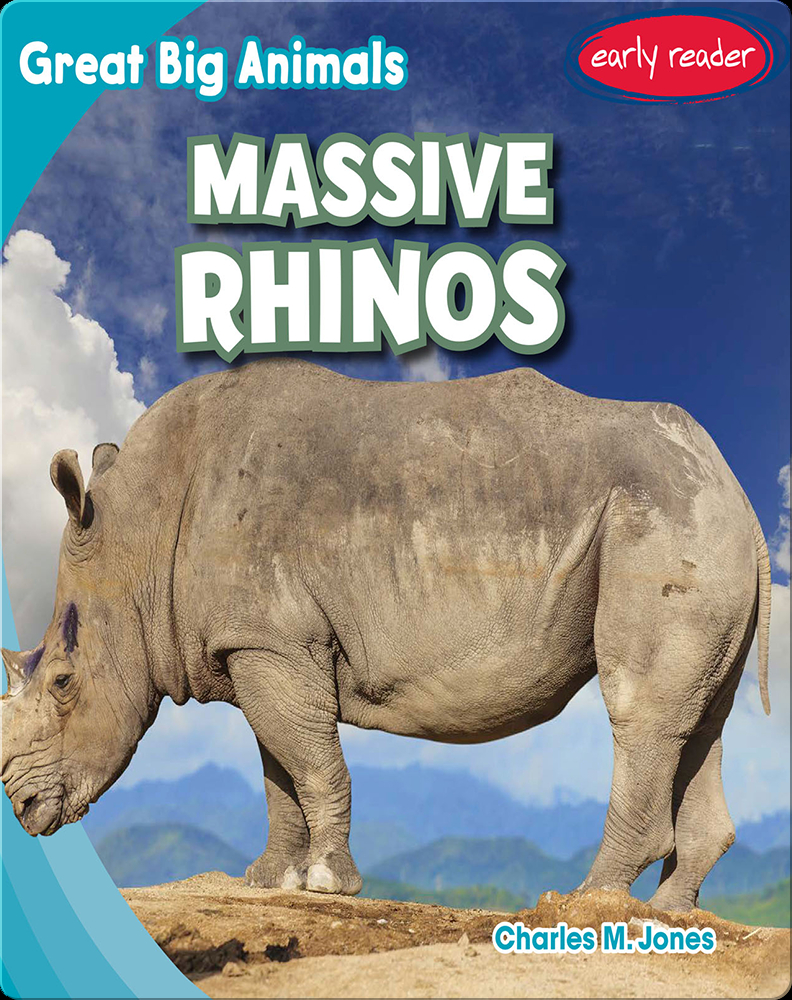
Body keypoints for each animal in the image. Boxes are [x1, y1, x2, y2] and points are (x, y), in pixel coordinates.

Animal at [1, 360, 771, 910]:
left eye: (64, 682)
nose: (23, 808)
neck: (139, 536)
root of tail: (739, 493)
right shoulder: (253, 645)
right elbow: (277, 769)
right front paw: (266, 881)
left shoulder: (273, 639)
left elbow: (310, 760)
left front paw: (325, 884)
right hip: (691, 520)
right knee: (700, 721)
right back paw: (669, 916)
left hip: (663, 518)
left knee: (641, 712)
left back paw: (584, 904)